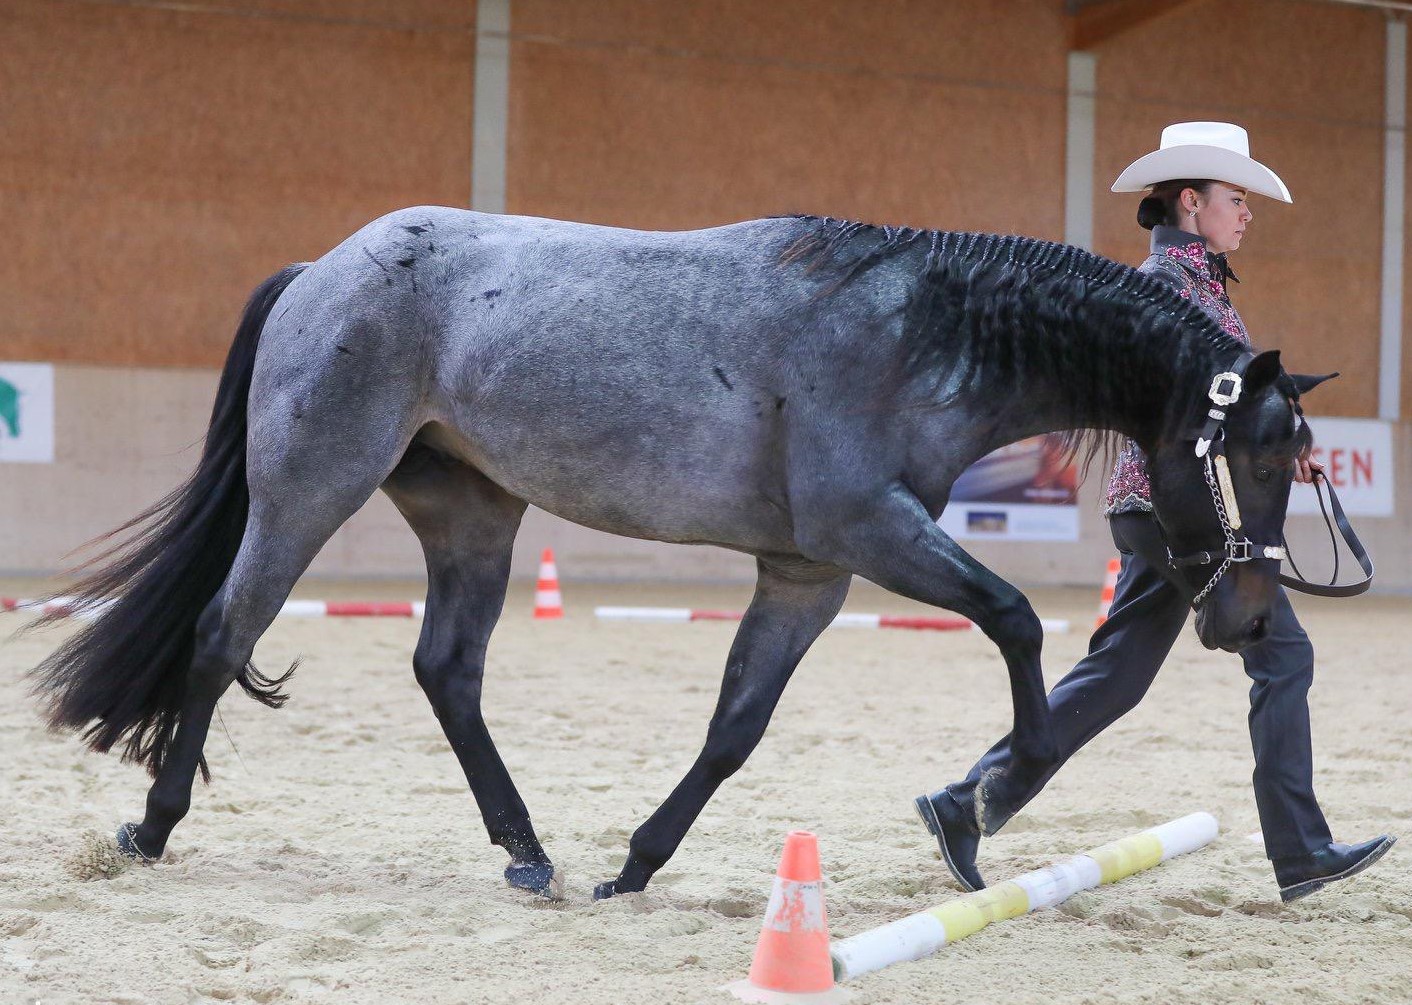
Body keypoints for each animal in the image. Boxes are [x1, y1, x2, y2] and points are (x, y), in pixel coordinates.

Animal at [29, 209, 1322, 900]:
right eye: (1261, 456)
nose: (1251, 618)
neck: (915, 333)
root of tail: (325, 270)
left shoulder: (809, 574)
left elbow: (733, 729)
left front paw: (636, 866)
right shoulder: (867, 535)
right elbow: (1010, 622)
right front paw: (987, 800)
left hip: (472, 517)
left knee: (447, 672)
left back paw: (530, 855)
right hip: (309, 491)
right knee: (222, 635)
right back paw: (150, 829)